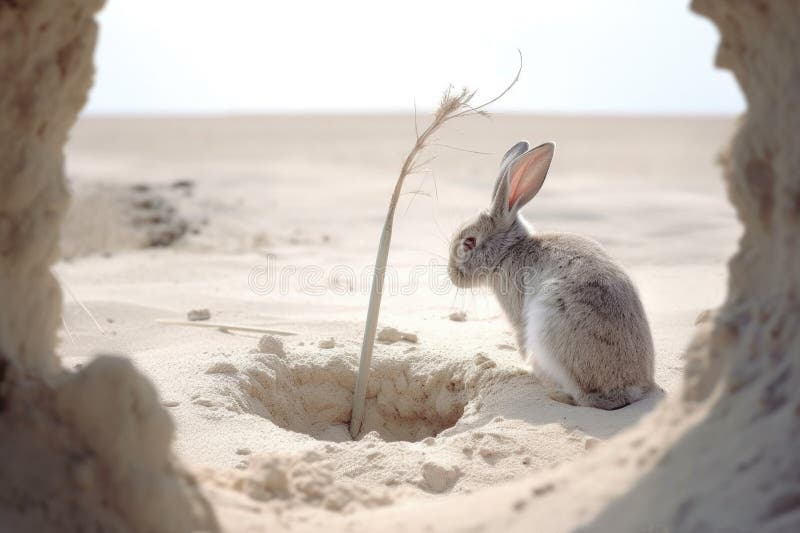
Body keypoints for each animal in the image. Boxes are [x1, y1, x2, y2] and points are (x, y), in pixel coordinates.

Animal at [448, 140, 655, 410]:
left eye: (469, 242)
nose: (452, 275)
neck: (509, 250)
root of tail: (628, 391)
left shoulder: (517, 312)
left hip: (549, 324)